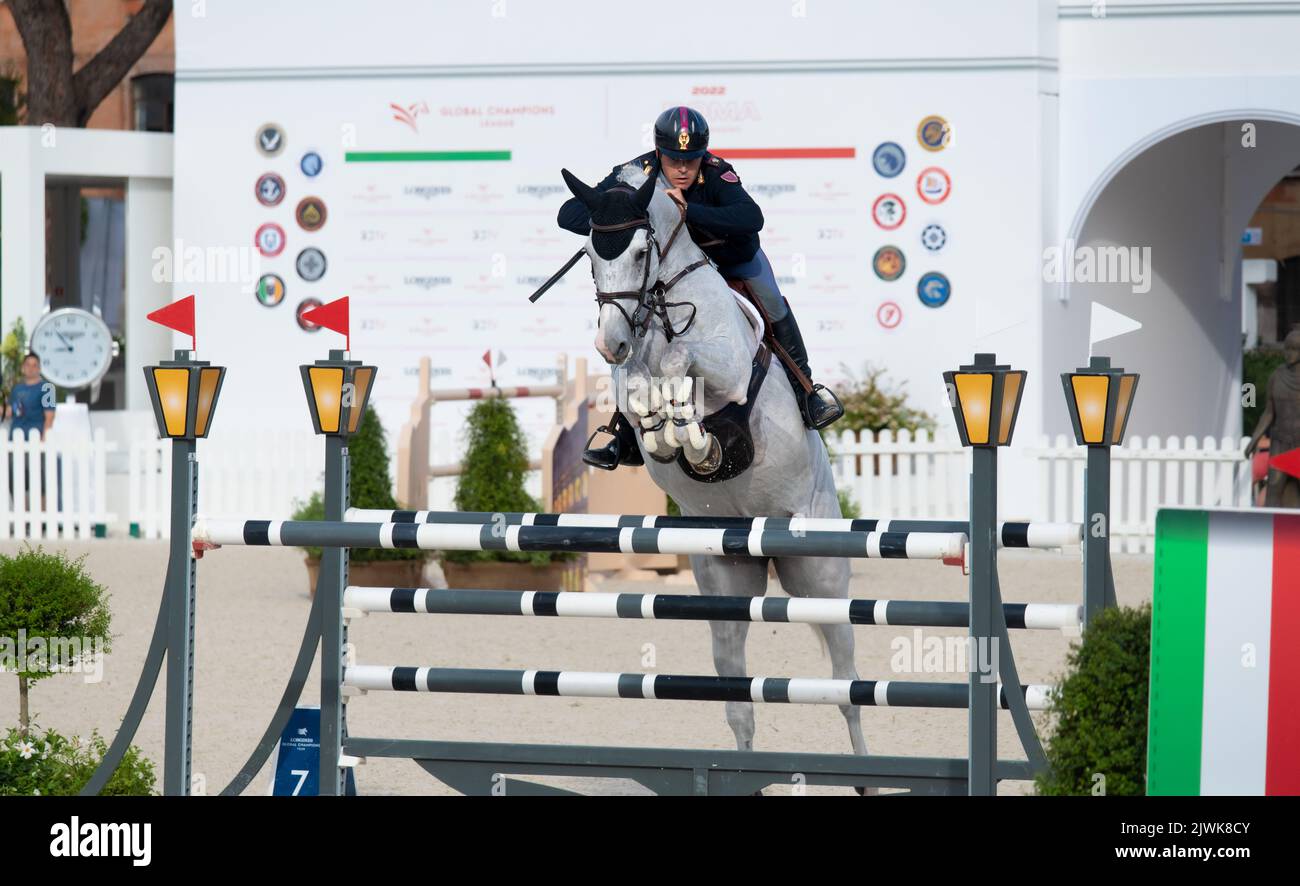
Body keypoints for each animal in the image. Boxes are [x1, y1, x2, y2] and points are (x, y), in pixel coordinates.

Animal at [559, 163, 867, 764]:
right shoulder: (628, 371)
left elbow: (686, 363)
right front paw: (665, 434)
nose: (609, 342)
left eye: (639, 251)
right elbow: (636, 389)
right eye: (588, 254)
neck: (660, 305)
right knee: (738, 700)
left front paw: (689, 431)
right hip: (726, 584)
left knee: (847, 686)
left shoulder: (728, 369)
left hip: (820, 574)